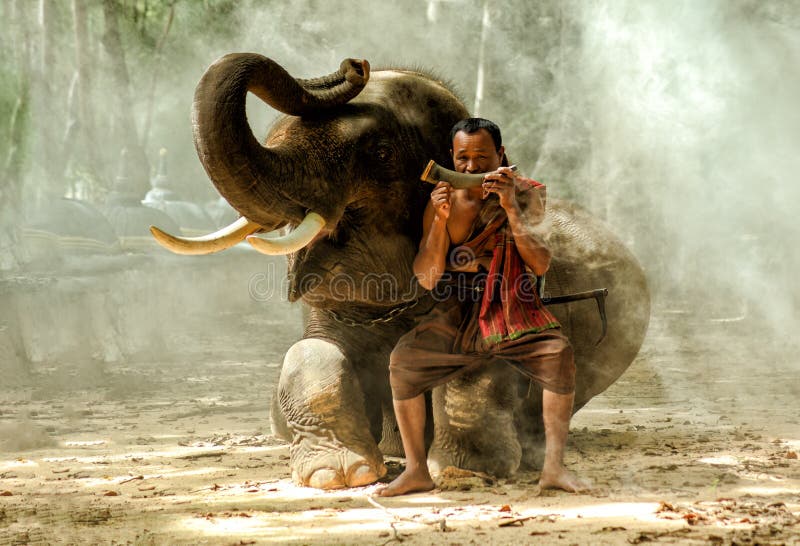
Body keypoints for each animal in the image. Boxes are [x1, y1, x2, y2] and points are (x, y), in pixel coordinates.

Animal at [152, 53, 650, 489]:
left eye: (381, 152)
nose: (356, 65)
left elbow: (479, 360)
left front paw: (468, 471)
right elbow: (311, 353)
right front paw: (340, 475)